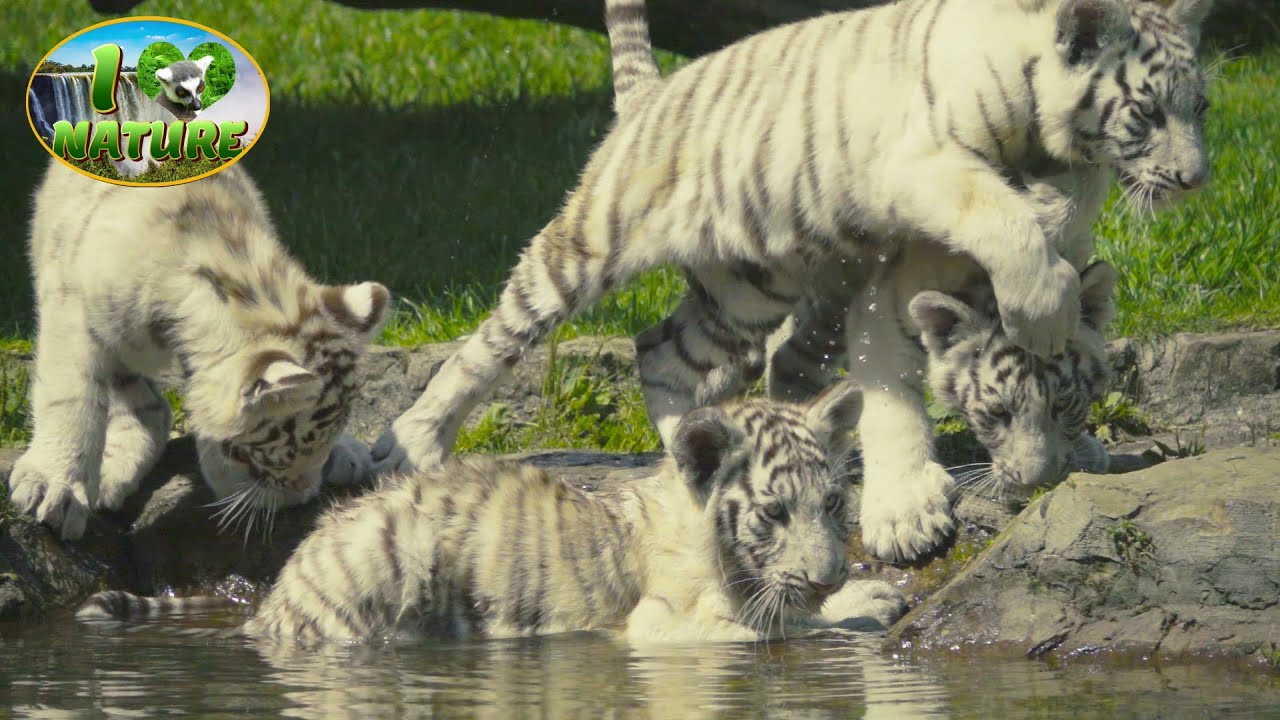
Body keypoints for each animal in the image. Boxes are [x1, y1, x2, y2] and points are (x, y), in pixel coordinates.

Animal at [78, 383, 910, 645]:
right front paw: (866, 600)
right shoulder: (662, 627)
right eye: (771, 513)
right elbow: (783, 622)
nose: (829, 571)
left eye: (832, 504)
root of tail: (278, 593)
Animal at [370, 0, 1213, 561]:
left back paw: (708, 446)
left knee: (664, 351)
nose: (1196, 179)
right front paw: (907, 512)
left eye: (1201, 107)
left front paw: (1088, 439)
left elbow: (1056, 229)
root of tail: (652, 94)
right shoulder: (917, 182)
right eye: (1146, 112)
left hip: (748, 286)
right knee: (498, 337)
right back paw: (413, 438)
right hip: (590, 245)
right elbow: (900, 379)